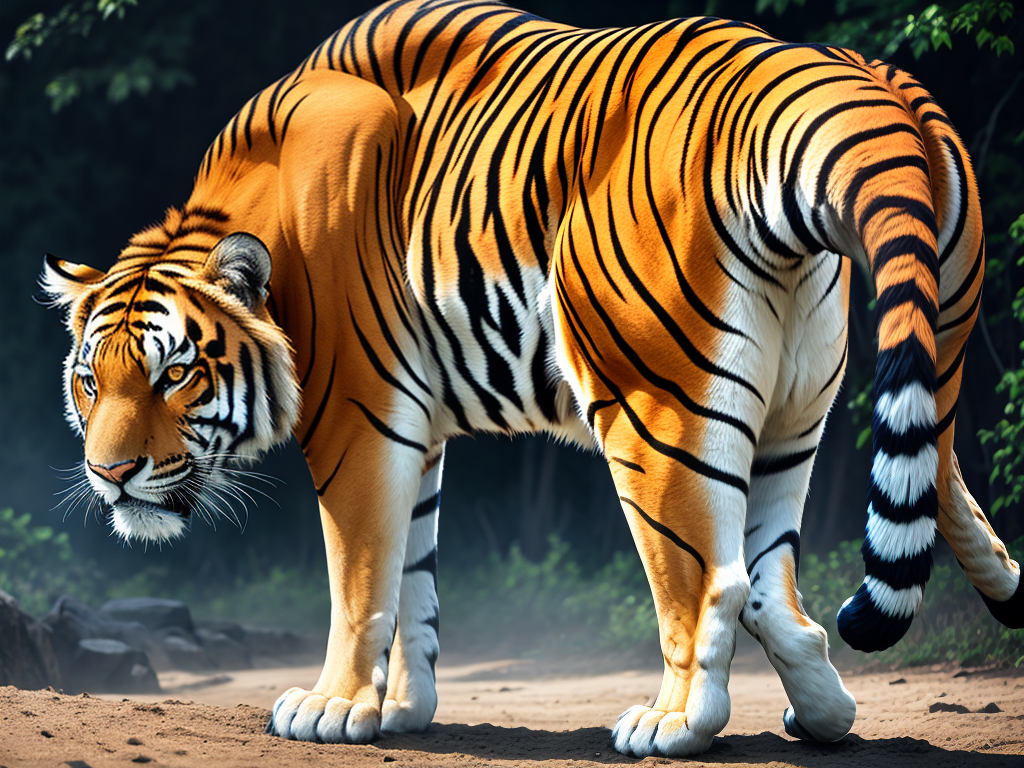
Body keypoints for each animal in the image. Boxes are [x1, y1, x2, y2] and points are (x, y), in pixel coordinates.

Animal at [42, 0, 1022, 757]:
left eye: (175, 375)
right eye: (91, 383)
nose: (110, 474)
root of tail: (804, 65)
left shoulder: (356, 416)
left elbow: (360, 579)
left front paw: (331, 708)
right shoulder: (413, 428)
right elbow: (413, 577)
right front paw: (403, 711)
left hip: (653, 404)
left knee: (714, 581)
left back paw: (672, 725)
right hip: (801, 408)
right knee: (805, 569)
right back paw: (826, 711)